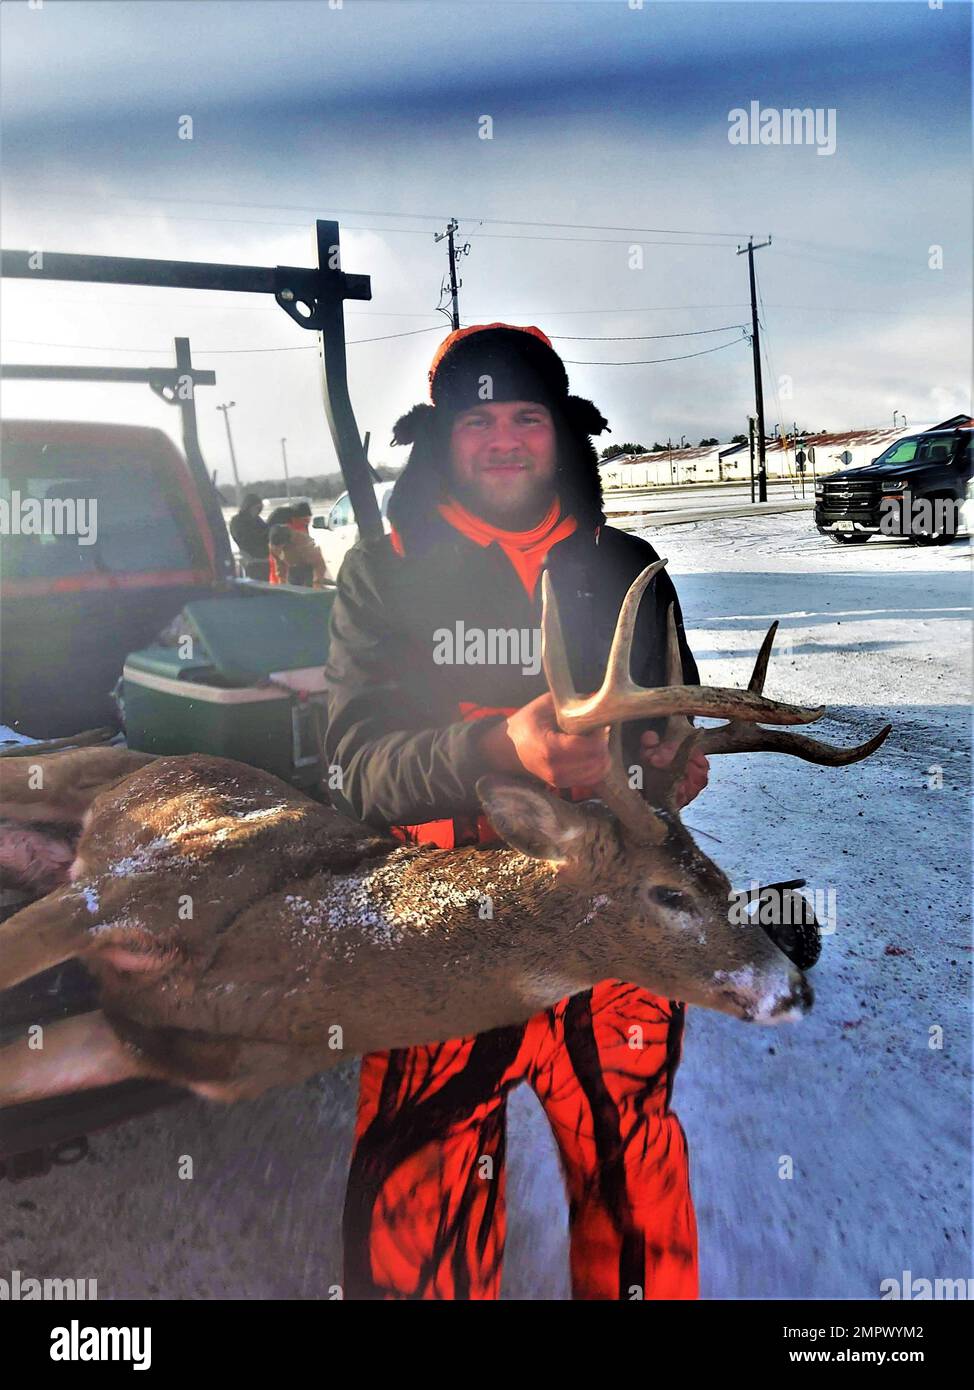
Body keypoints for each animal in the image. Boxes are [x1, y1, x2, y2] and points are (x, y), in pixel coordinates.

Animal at [0, 560, 890, 1109]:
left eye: (722, 878)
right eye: (669, 893)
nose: (794, 989)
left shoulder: (143, 1042)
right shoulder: (133, 886)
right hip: (87, 791)